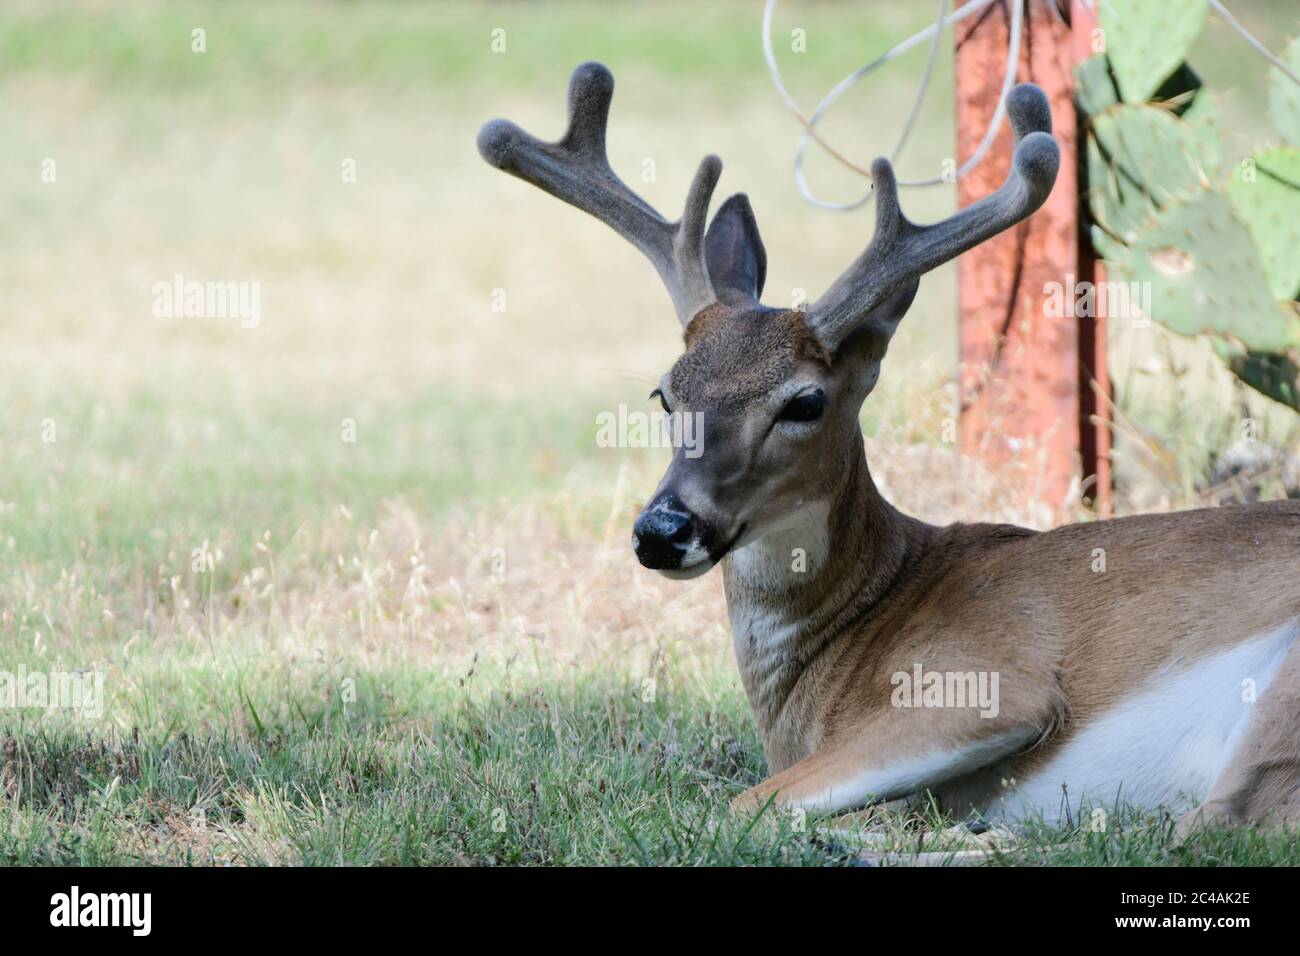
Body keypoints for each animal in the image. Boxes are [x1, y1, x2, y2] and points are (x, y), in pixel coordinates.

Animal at [478, 62, 1300, 831]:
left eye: (805, 402)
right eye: (664, 393)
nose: (663, 530)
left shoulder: (990, 679)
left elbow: (741, 804)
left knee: (1208, 824)